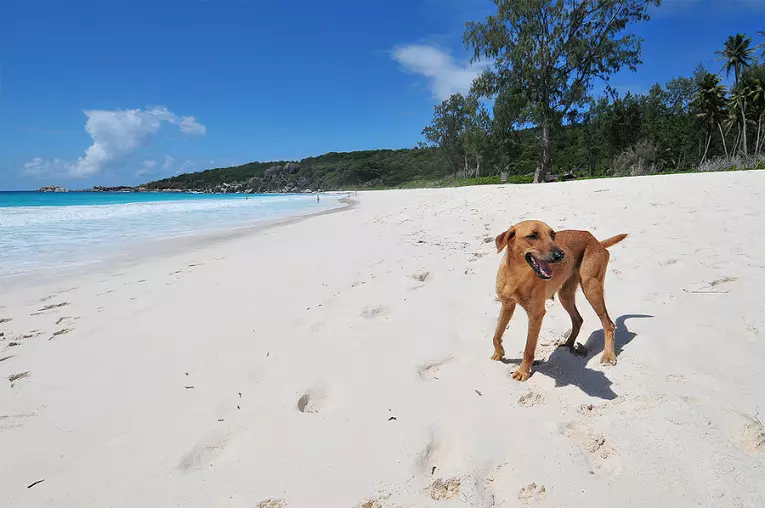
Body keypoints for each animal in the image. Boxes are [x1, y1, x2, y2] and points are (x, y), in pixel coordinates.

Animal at [490, 219, 628, 380]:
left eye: (553, 235)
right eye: (533, 236)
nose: (561, 254)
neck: (517, 275)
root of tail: (596, 240)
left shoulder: (536, 314)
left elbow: (528, 349)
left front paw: (523, 371)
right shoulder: (507, 305)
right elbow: (496, 334)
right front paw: (498, 353)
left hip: (591, 288)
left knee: (609, 324)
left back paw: (609, 356)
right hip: (565, 294)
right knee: (578, 319)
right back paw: (568, 345)